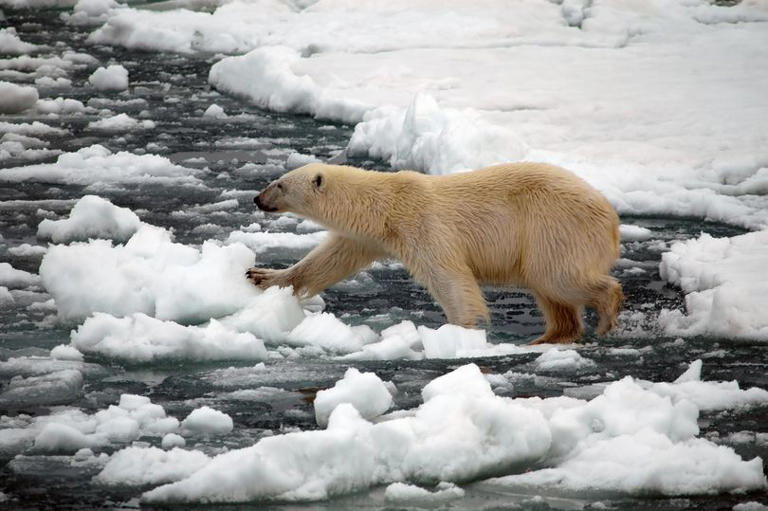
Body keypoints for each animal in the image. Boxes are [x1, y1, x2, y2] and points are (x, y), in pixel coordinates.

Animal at [247, 162, 623, 344]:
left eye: (279, 184)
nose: (257, 198)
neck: (387, 205)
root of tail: (612, 217)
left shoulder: (422, 224)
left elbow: (449, 278)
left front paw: (460, 331)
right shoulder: (369, 236)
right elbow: (327, 261)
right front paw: (261, 275)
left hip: (554, 227)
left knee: (558, 277)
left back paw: (606, 314)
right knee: (550, 291)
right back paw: (548, 337)